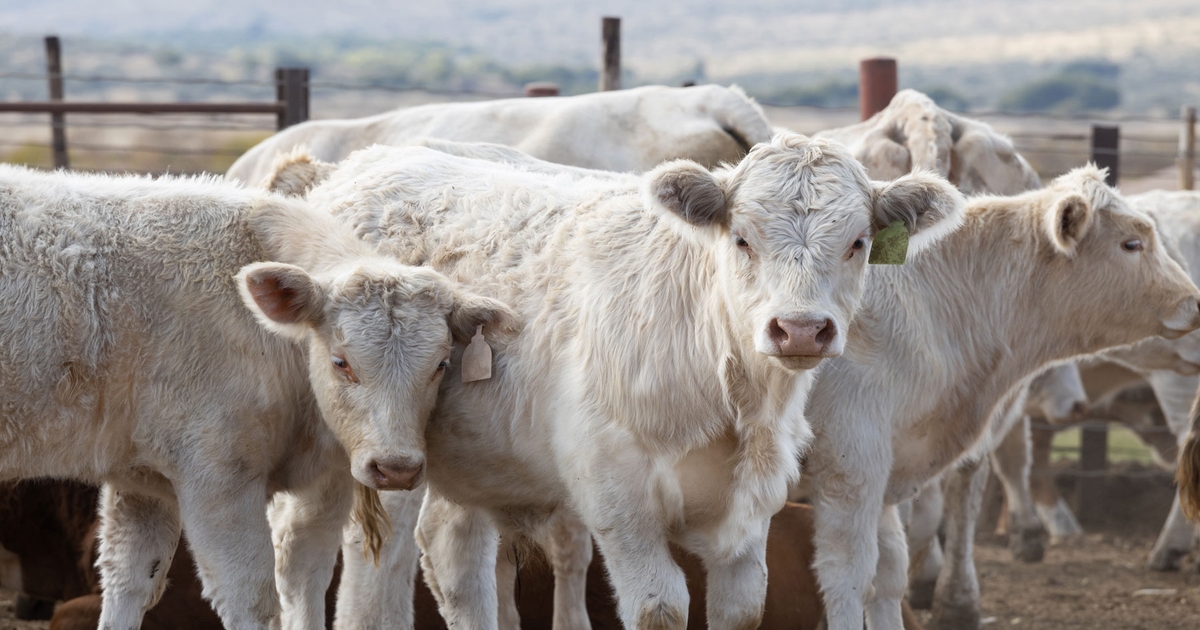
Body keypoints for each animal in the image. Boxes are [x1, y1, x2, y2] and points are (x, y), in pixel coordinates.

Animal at [0, 165, 517, 629]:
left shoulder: (142, 478)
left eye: (441, 364)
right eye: (341, 362)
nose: (396, 468)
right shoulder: (218, 478)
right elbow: (249, 598)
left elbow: (131, 581)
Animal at [280, 133, 966, 629]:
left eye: (858, 242)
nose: (799, 330)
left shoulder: (748, 513)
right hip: (377, 453)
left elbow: (742, 610)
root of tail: (359, 166)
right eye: (743, 239)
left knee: (455, 558)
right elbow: (660, 607)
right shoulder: (617, 496)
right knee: (351, 564)